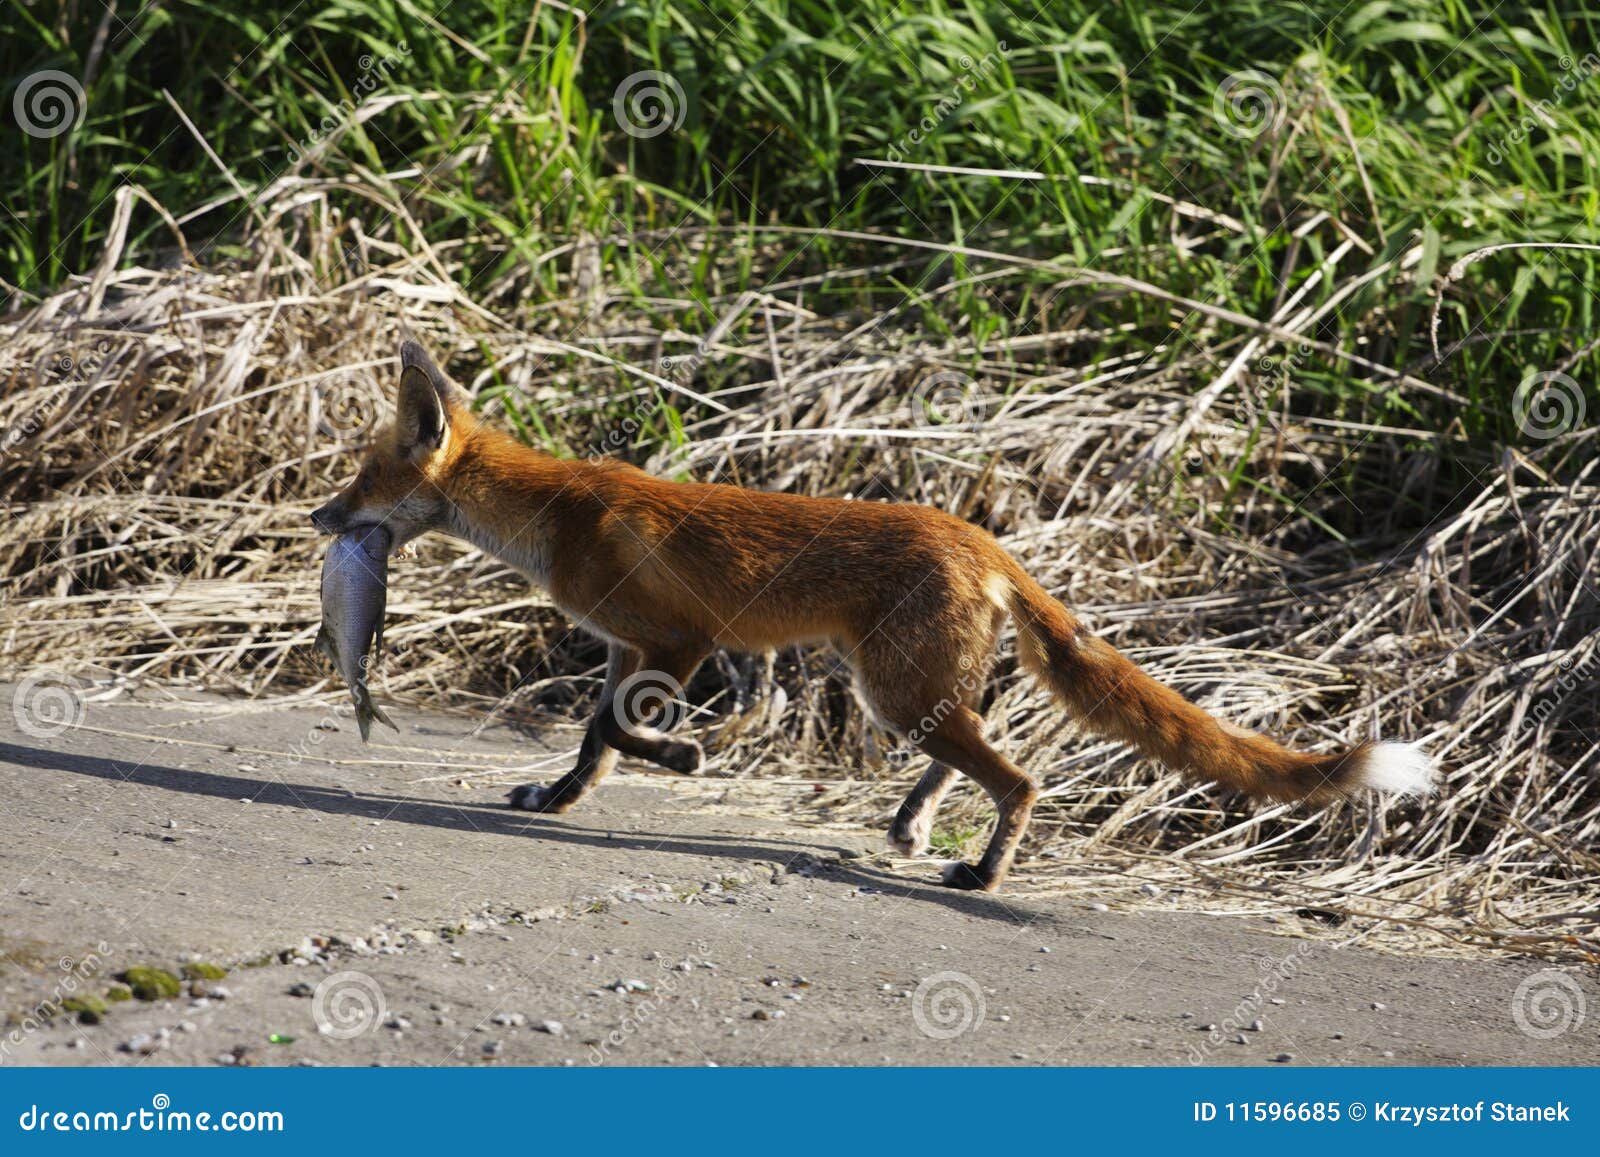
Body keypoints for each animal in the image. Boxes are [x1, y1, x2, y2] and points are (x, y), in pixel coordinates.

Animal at [311, 340, 1436, 893]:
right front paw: (558, 796)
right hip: (907, 689)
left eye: (362, 481)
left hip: (892, 688)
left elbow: (618, 731)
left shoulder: (680, 638)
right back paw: (912, 819)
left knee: (1018, 776)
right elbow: (595, 740)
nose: (316, 517)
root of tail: (985, 539)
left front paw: (687, 760)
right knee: (974, 743)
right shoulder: (635, 647)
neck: (555, 514)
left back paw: (981, 871)